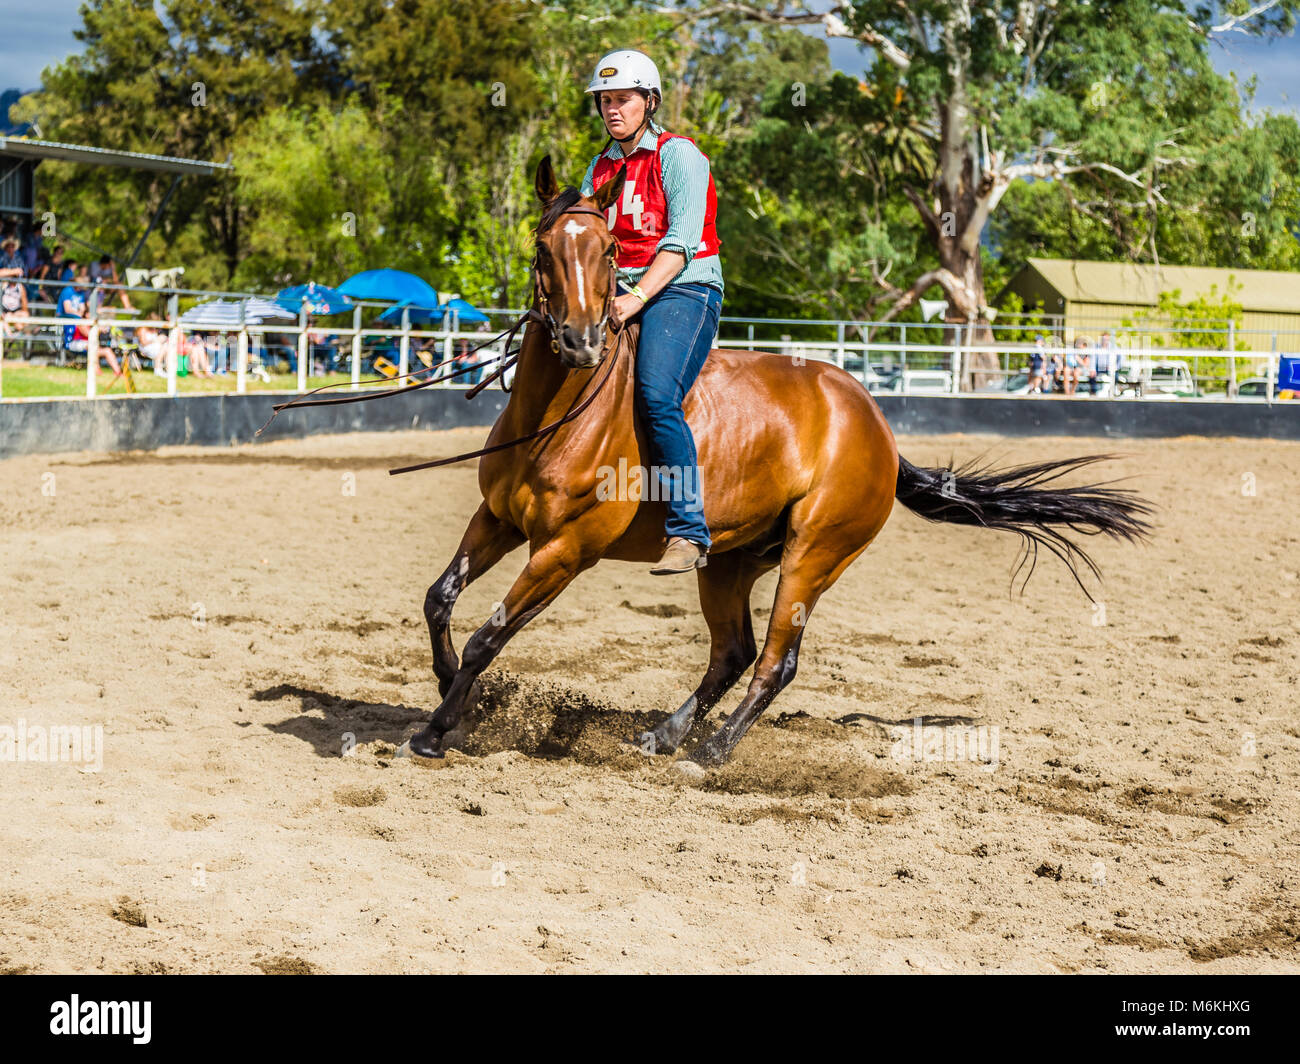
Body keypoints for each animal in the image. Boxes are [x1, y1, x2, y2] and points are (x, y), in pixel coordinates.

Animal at [404, 155, 1152, 767]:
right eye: (543, 246)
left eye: (610, 246)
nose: (583, 340)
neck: (560, 416)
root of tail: (876, 426)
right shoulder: (500, 519)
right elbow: (440, 599)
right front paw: (447, 685)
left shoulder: (566, 549)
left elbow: (490, 635)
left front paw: (438, 728)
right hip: (729, 562)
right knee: (730, 653)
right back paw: (663, 736)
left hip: (813, 556)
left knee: (774, 661)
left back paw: (711, 753)